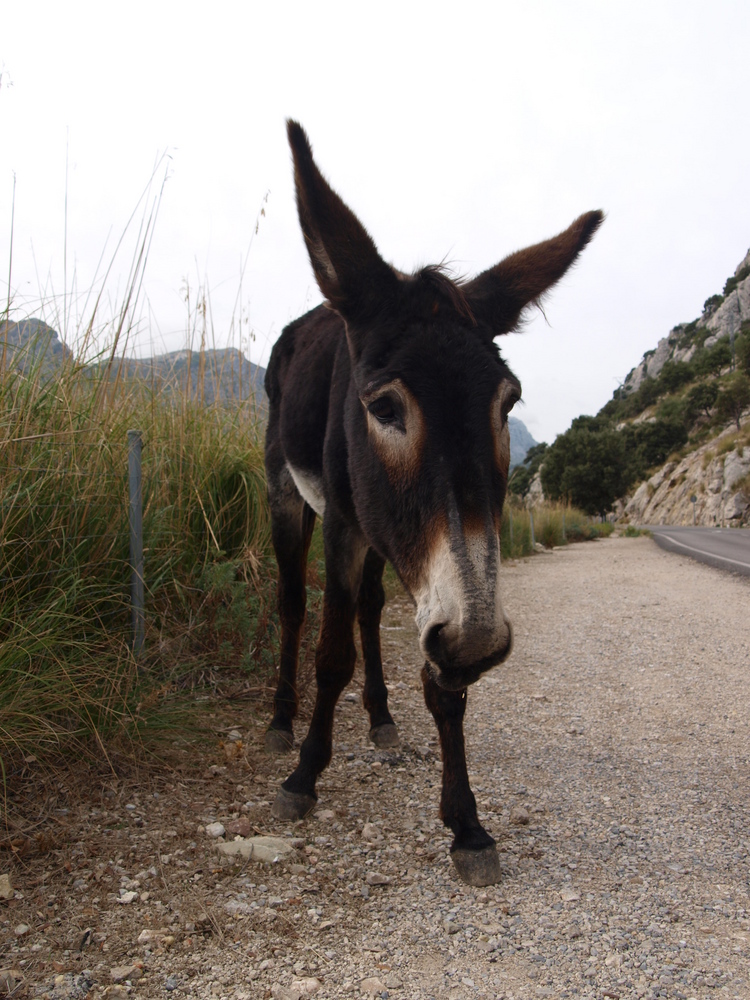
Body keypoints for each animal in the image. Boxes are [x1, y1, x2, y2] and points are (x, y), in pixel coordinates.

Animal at [263, 120, 602, 885]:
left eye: (508, 403)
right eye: (385, 408)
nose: (476, 641)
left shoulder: (429, 567)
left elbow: (442, 680)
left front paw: (467, 827)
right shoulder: (346, 521)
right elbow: (331, 653)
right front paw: (305, 777)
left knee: (367, 608)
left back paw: (382, 719)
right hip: (289, 496)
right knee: (294, 604)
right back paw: (280, 722)